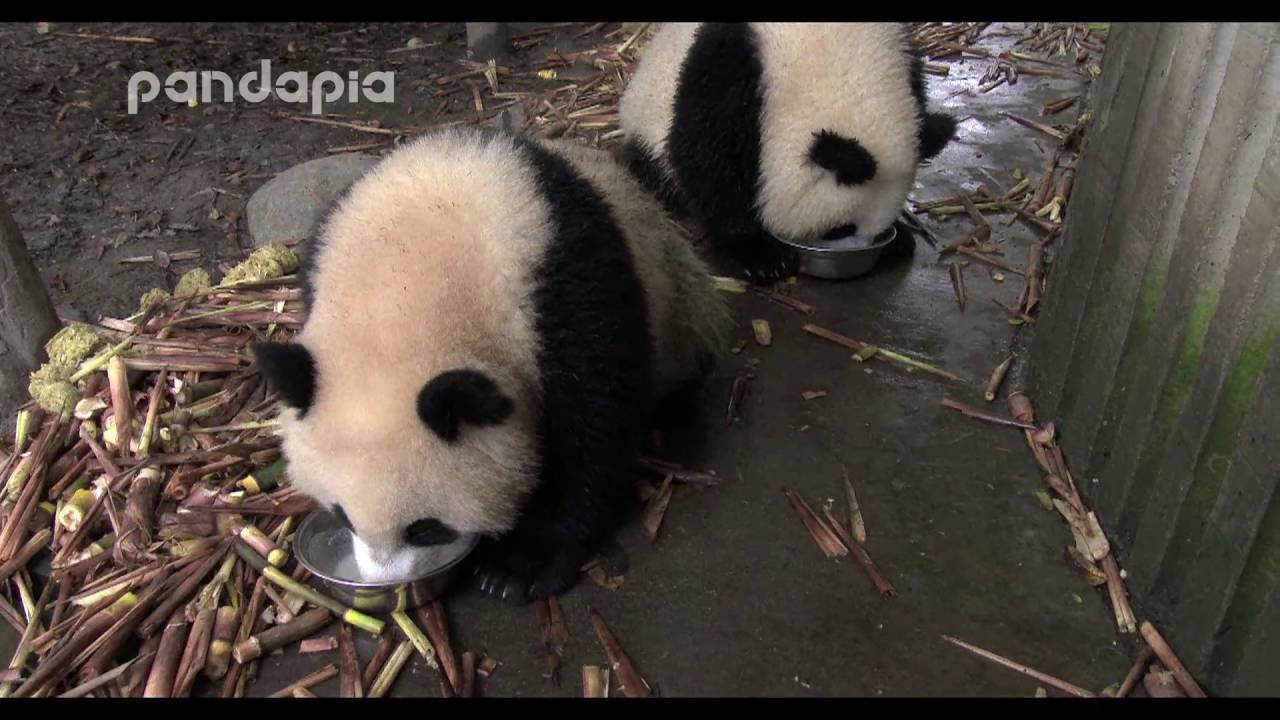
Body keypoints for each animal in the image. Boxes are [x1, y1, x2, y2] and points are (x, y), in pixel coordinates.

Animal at [253, 126, 732, 603]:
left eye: (424, 528)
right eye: (343, 514)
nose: (380, 577)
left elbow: (593, 426)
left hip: (677, 301)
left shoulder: (562, 291)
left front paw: (519, 566)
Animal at [619, 22, 958, 283]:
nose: (866, 249)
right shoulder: (735, 77)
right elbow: (709, 159)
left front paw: (898, 238)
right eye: (839, 230)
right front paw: (758, 254)